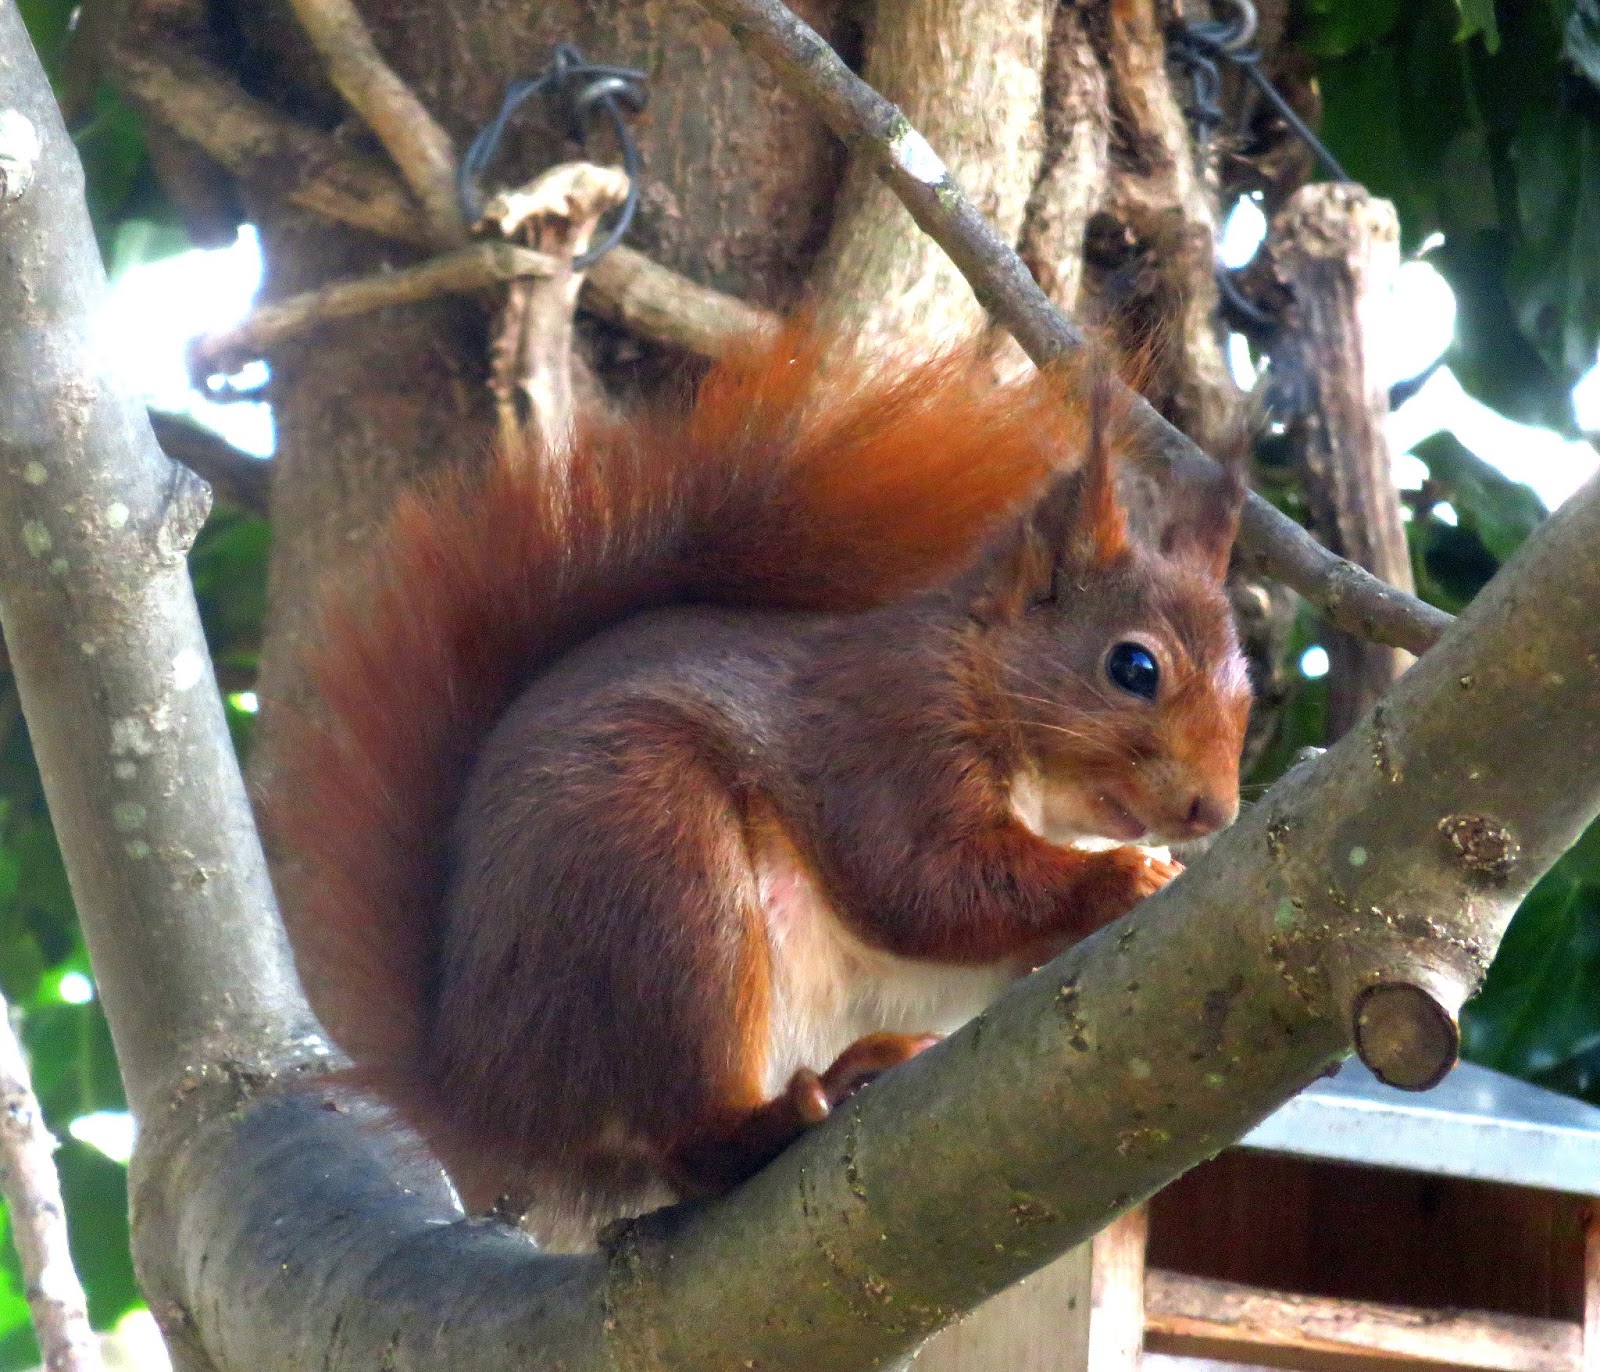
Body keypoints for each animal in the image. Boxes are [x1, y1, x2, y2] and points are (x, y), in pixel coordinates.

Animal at [262, 329, 1252, 1242]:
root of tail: (477, 1086)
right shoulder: (888, 738)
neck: (979, 675)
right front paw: (1120, 877)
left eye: (1246, 697)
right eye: (1133, 667)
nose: (1215, 809)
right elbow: (924, 881)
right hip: (658, 878)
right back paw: (780, 1117)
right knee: (686, 1136)